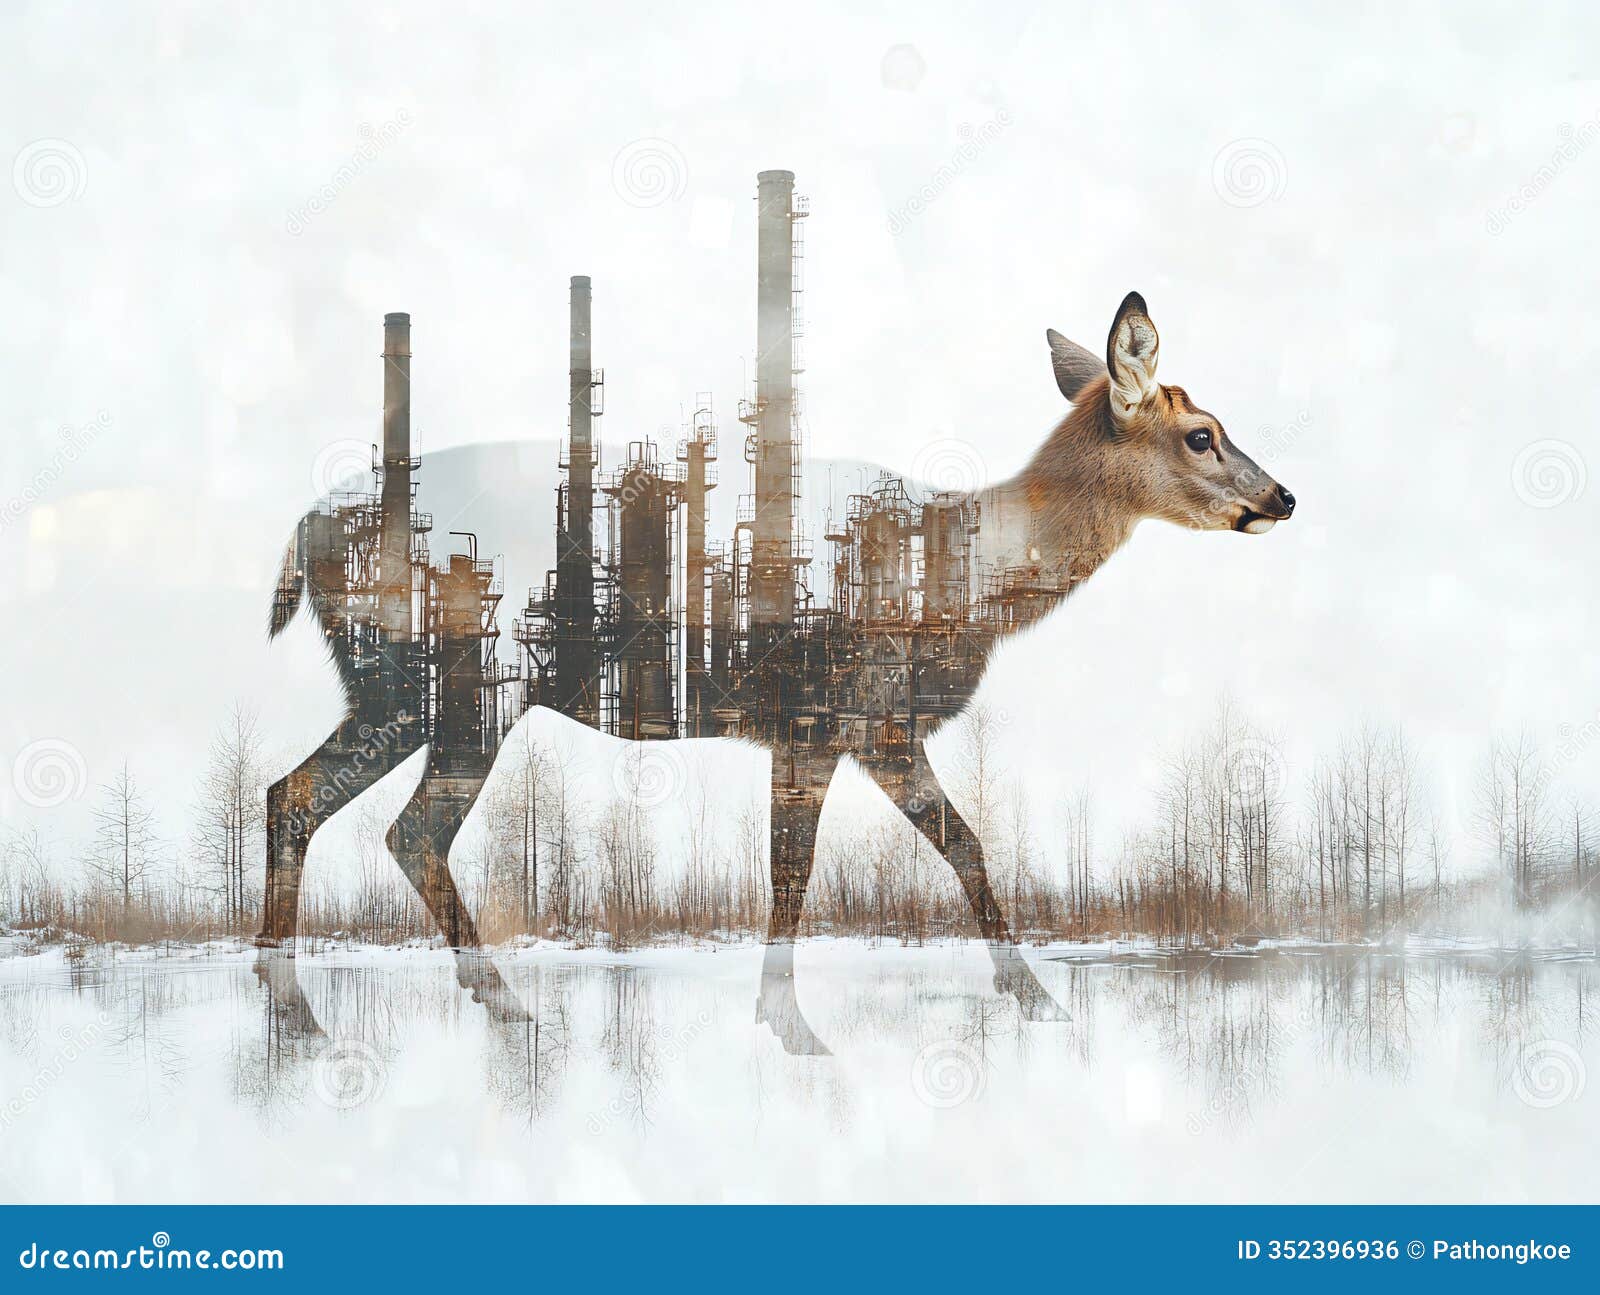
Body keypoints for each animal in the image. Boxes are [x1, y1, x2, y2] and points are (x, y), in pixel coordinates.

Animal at [258, 291, 1295, 1055]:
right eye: (1202, 433)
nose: (1283, 495)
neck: (967, 576)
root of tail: (302, 532)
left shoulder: (873, 730)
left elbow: (956, 846)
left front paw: (1038, 1001)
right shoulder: (825, 711)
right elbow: (800, 869)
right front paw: (796, 1030)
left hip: (395, 691)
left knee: (294, 795)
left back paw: (292, 1006)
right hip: (467, 684)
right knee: (405, 828)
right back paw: (504, 1008)